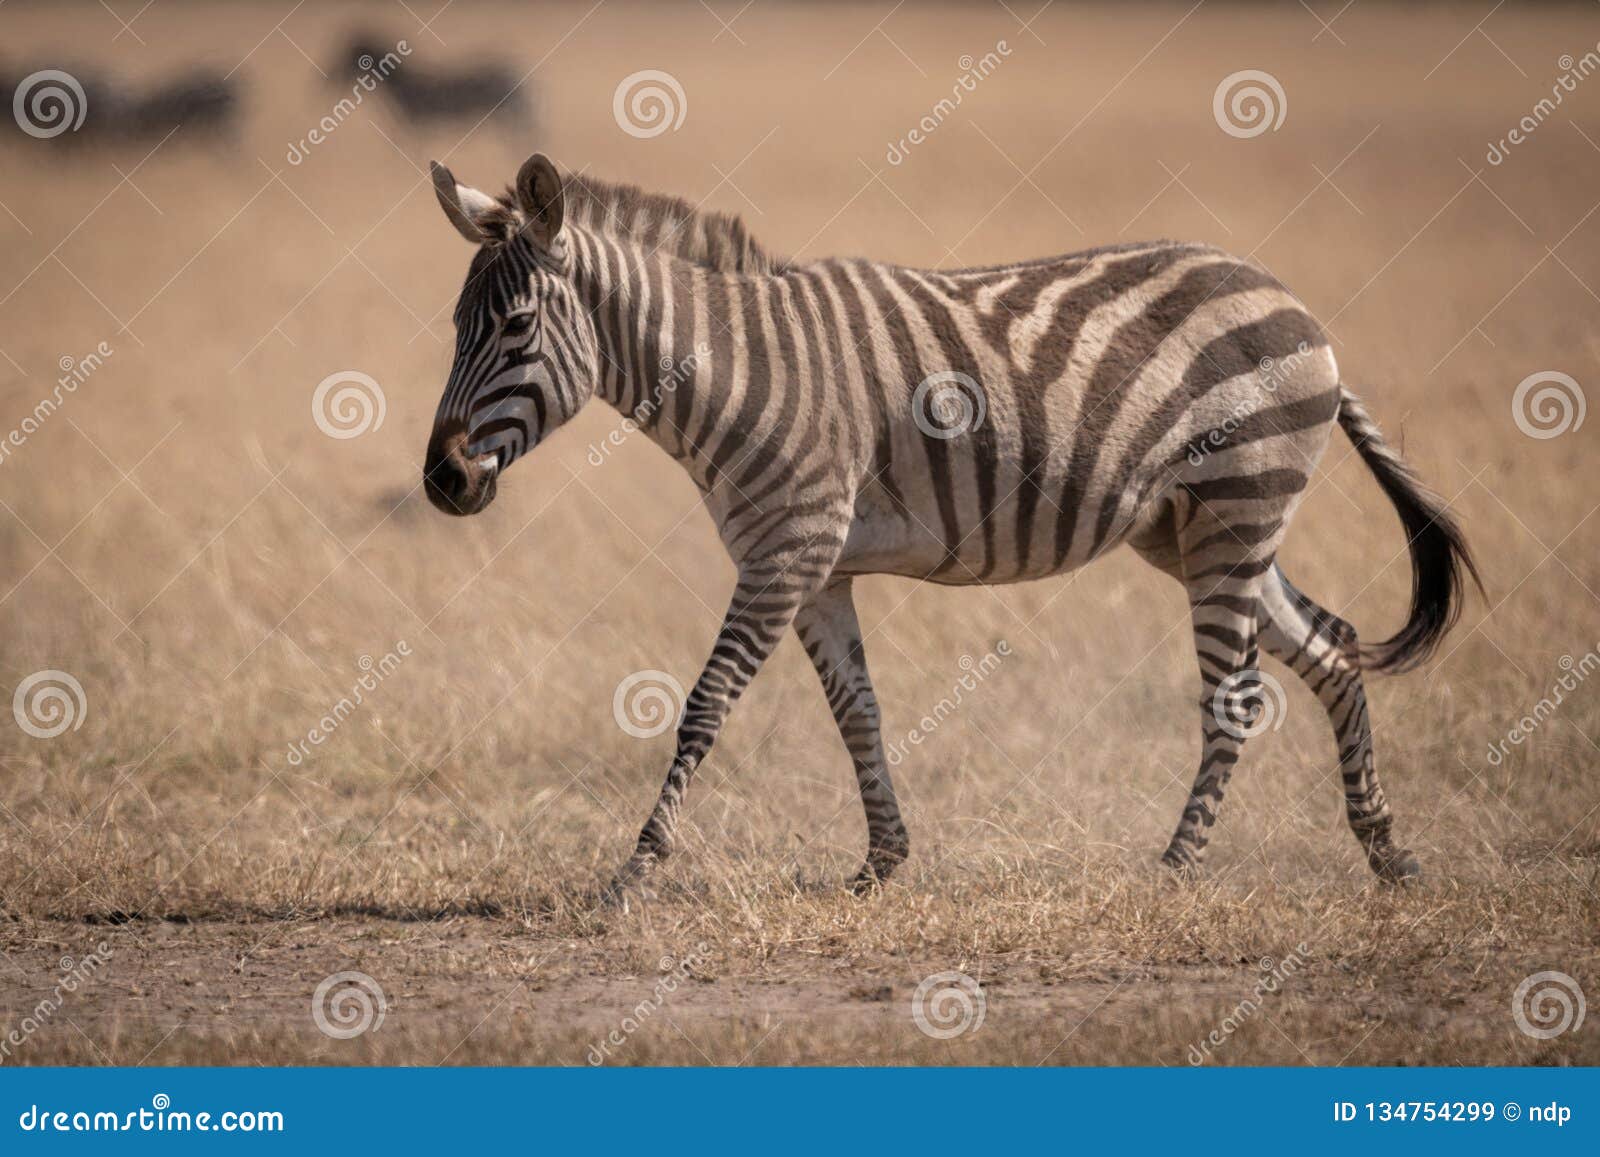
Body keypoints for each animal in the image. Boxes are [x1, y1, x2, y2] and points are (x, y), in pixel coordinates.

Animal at [422, 153, 1480, 895]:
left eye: (514, 327)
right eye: (455, 327)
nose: (441, 480)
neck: (738, 370)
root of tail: (1295, 302)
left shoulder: (786, 551)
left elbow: (704, 705)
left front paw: (637, 867)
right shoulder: (817, 568)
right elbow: (858, 710)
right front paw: (882, 859)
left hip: (1238, 505)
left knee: (1237, 695)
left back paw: (1178, 866)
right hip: (1197, 531)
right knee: (1334, 649)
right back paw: (1386, 852)